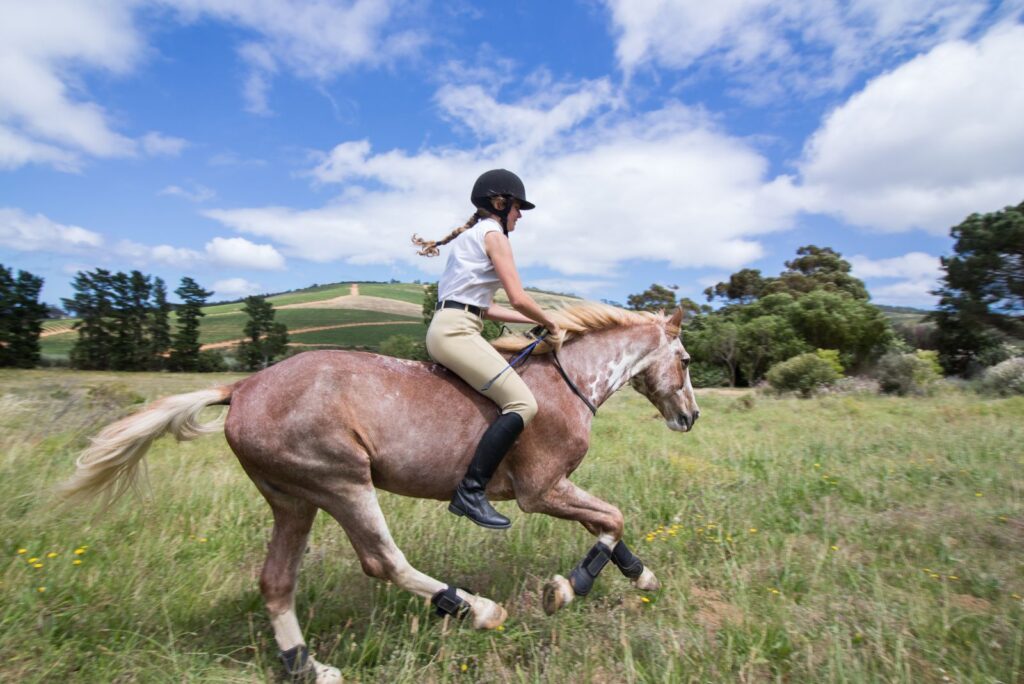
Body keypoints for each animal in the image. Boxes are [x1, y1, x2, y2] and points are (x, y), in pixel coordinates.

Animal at [59, 303, 699, 683]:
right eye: (687, 360)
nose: (689, 417)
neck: (568, 381)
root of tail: (241, 387)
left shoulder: (556, 488)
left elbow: (607, 524)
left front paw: (640, 577)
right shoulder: (541, 489)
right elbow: (612, 518)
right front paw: (565, 590)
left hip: (294, 499)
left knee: (276, 582)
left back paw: (310, 667)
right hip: (342, 482)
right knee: (383, 560)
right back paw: (477, 610)